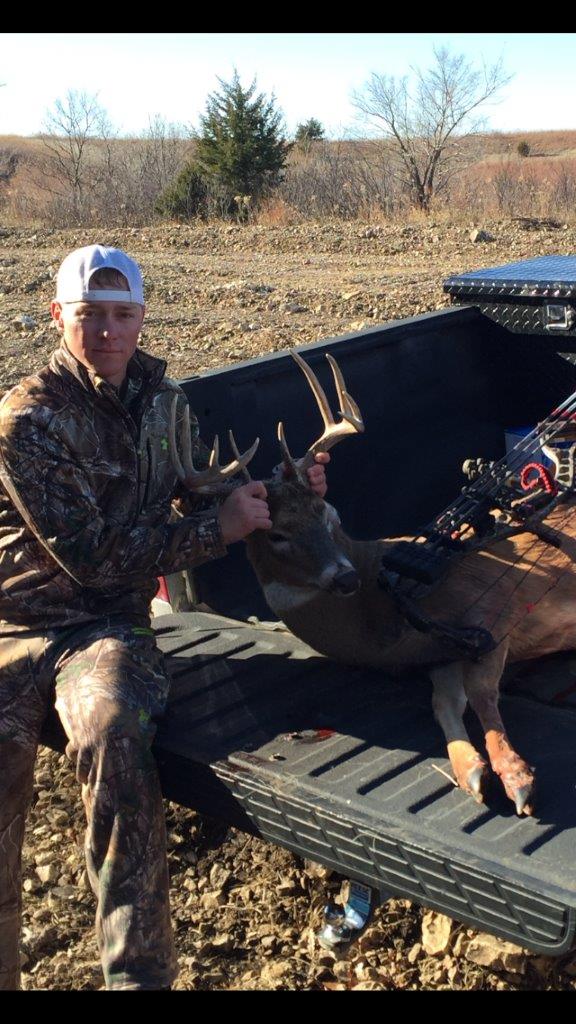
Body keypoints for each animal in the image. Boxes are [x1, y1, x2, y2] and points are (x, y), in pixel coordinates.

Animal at [169, 350, 576, 818]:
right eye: (276, 535)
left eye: (328, 512)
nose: (345, 577)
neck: (375, 615)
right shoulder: (444, 649)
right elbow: (444, 700)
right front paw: (471, 770)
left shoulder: (494, 609)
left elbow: (480, 690)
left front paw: (516, 776)